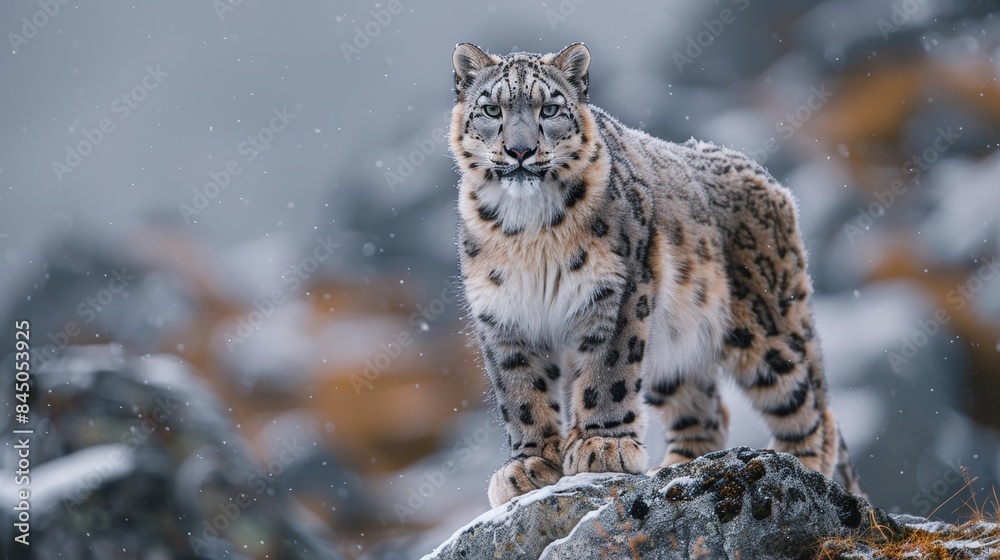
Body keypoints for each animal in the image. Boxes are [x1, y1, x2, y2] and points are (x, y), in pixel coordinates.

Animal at [448, 42, 862, 507]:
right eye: (492, 109)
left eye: (550, 109)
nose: (520, 150)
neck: (529, 230)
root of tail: (772, 183)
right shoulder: (504, 315)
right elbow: (521, 392)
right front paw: (528, 465)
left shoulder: (615, 293)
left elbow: (606, 372)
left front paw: (601, 445)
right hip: (675, 352)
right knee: (707, 411)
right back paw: (674, 471)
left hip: (767, 326)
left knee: (810, 405)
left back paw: (802, 467)